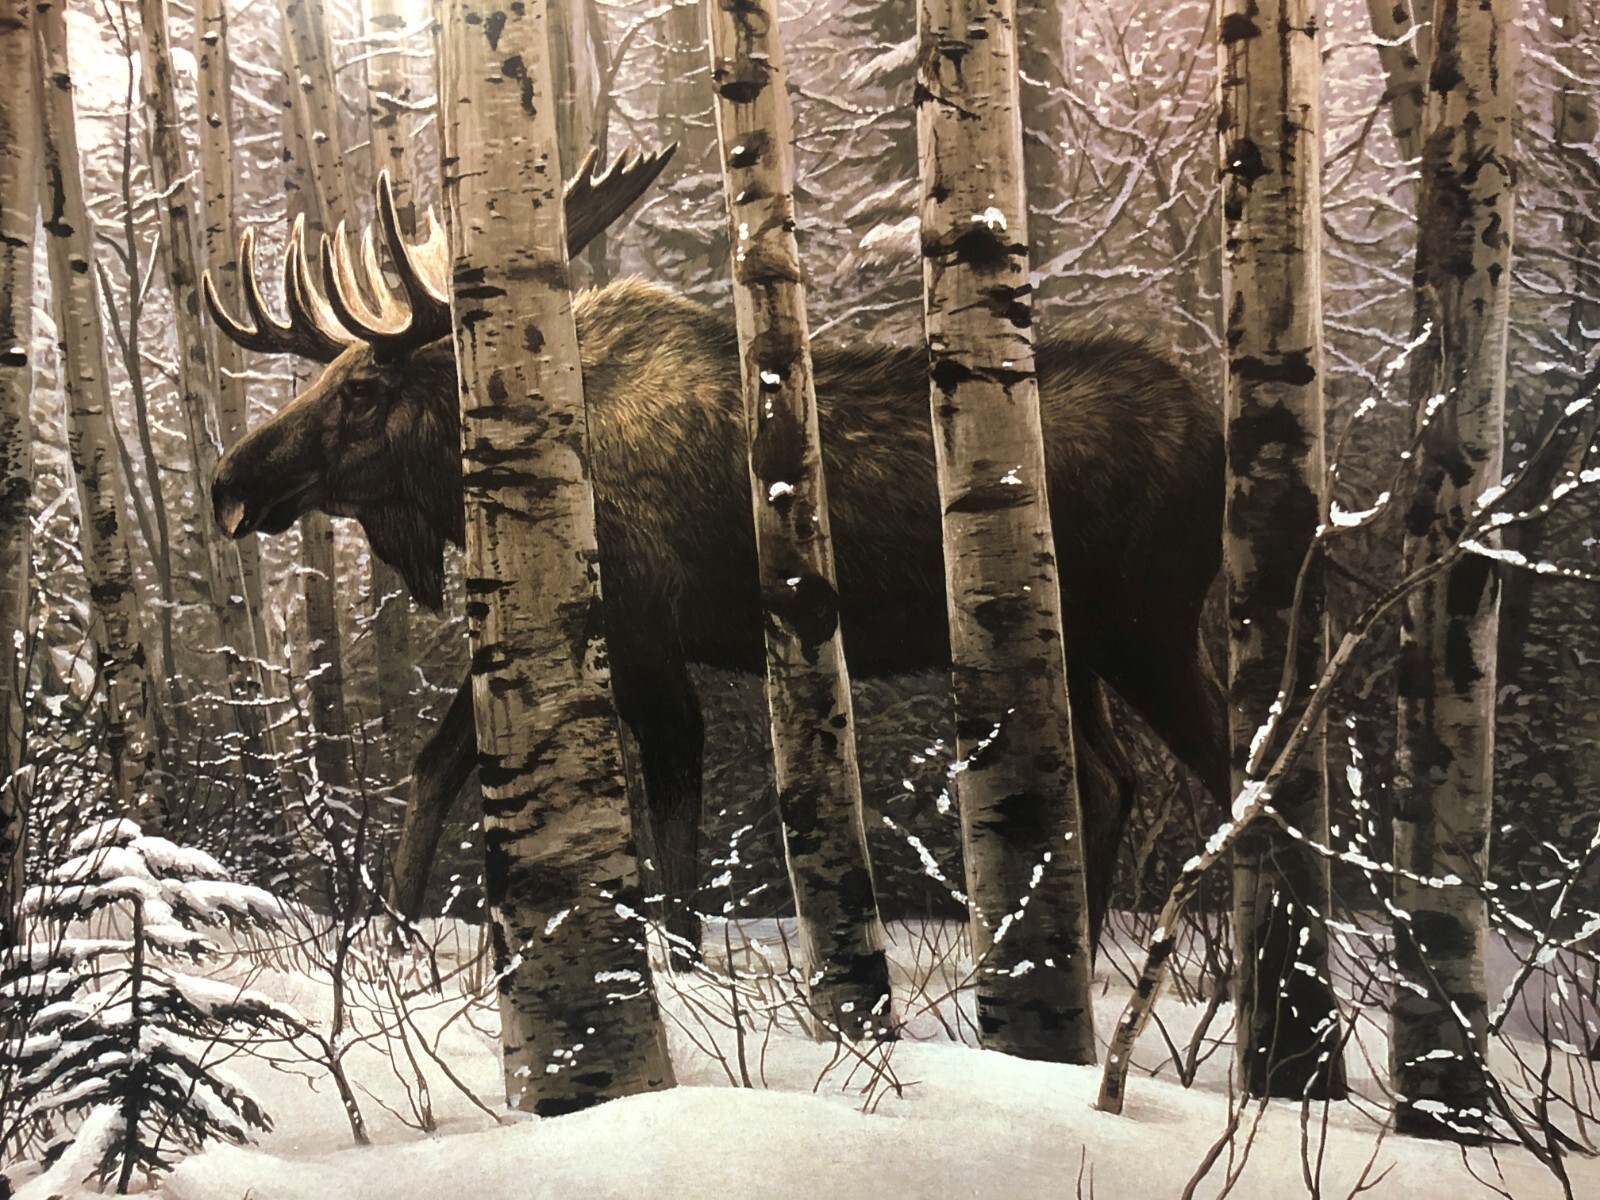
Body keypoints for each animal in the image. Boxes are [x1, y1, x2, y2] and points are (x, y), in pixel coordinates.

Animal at [203, 147, 1228, 955]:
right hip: (1075, 643)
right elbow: (437, 766)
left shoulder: (645, 635)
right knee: (1114, 779)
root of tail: (1215, 423)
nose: (228, 482)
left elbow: (675, 848)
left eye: (362, 391)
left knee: (1232, 753)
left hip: (1151, 627)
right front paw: (393, 951)